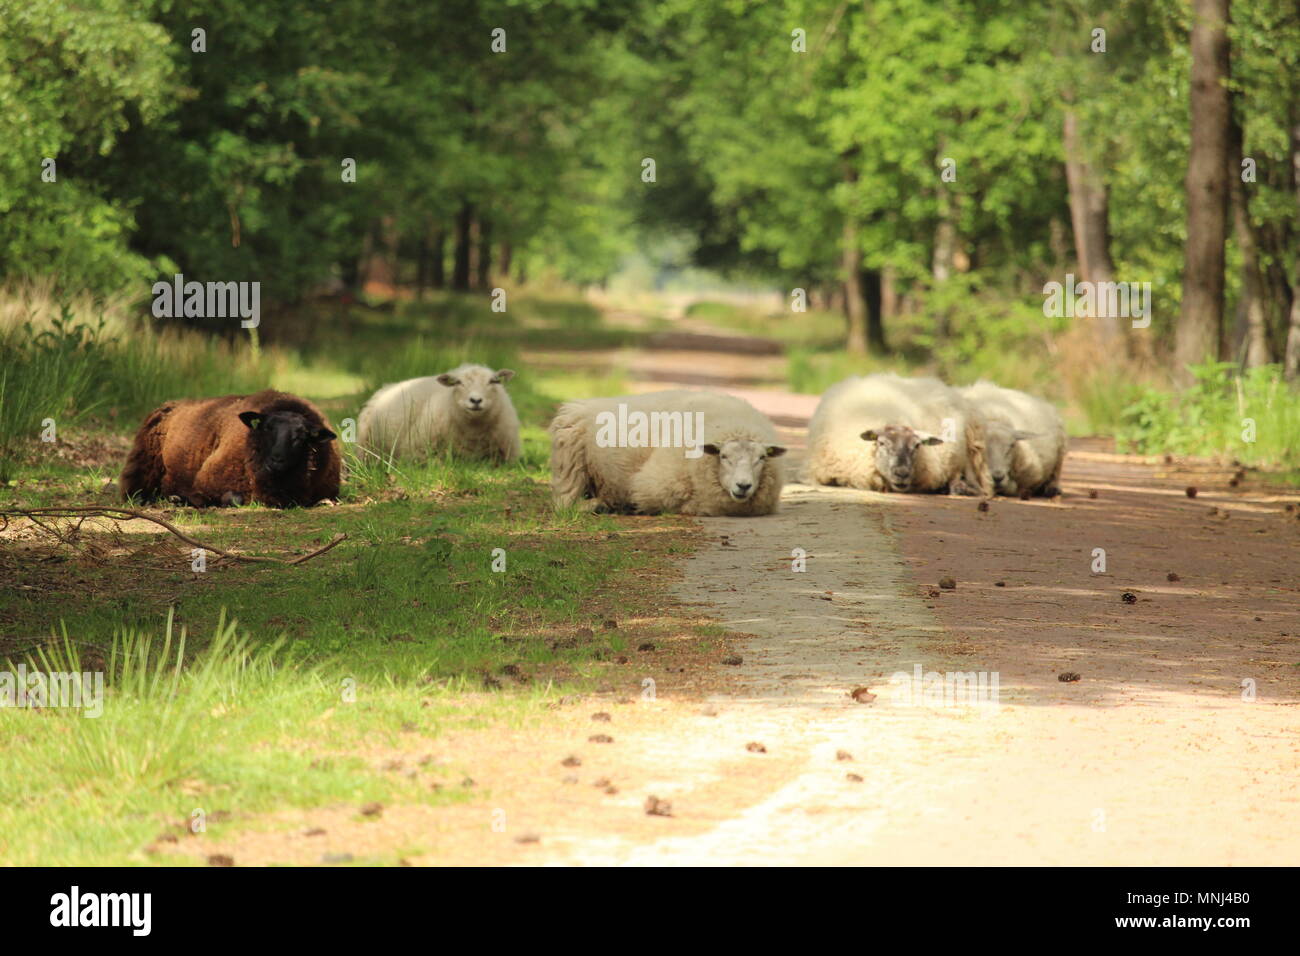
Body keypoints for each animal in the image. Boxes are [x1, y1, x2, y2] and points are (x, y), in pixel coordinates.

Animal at [119, 390, 340, 508]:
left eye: (301, 436)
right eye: (266, 428)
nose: (276, 461)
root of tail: (171, 403)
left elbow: (326, 499)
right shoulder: (207, 481)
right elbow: (232, 499)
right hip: (143, 467)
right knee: (136, 493)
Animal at [356, 363, 521, 463]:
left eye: (493, 381)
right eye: (458, 383)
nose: (475, 400)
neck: (474, 432)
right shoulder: (416, 452)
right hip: (367, 446)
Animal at [548, 390, 787, 516]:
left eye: (762, 458)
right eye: (724, 456)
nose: (743, 486)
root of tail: (581, 403)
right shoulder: (652, 485)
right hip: (570, 465)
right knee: (564, 503)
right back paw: (593, 506)